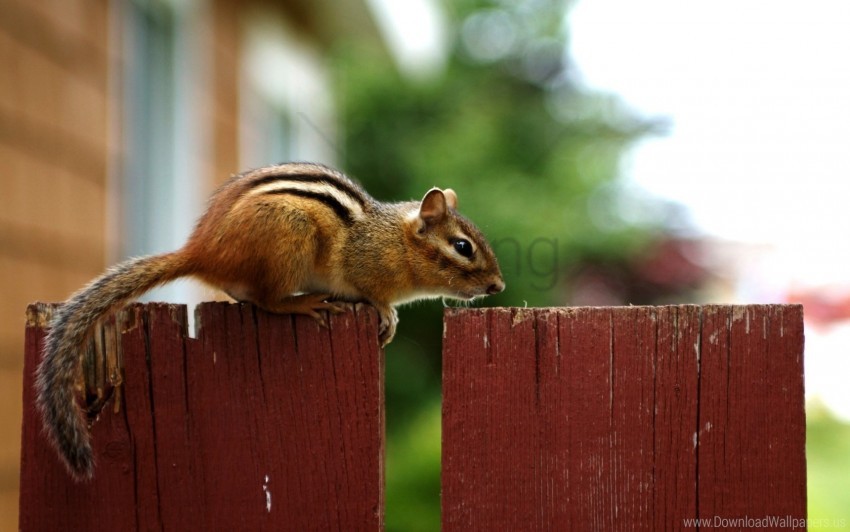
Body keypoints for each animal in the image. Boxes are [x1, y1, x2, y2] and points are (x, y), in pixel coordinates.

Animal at [36, 162, 504, 481]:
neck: (394, 241)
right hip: (288, 240)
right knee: (267, 301)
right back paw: (305, 303)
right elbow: (373, 296)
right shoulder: (364, 271)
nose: (498, 285)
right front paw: (387, 316)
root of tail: (202, 251)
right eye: (463, 246)